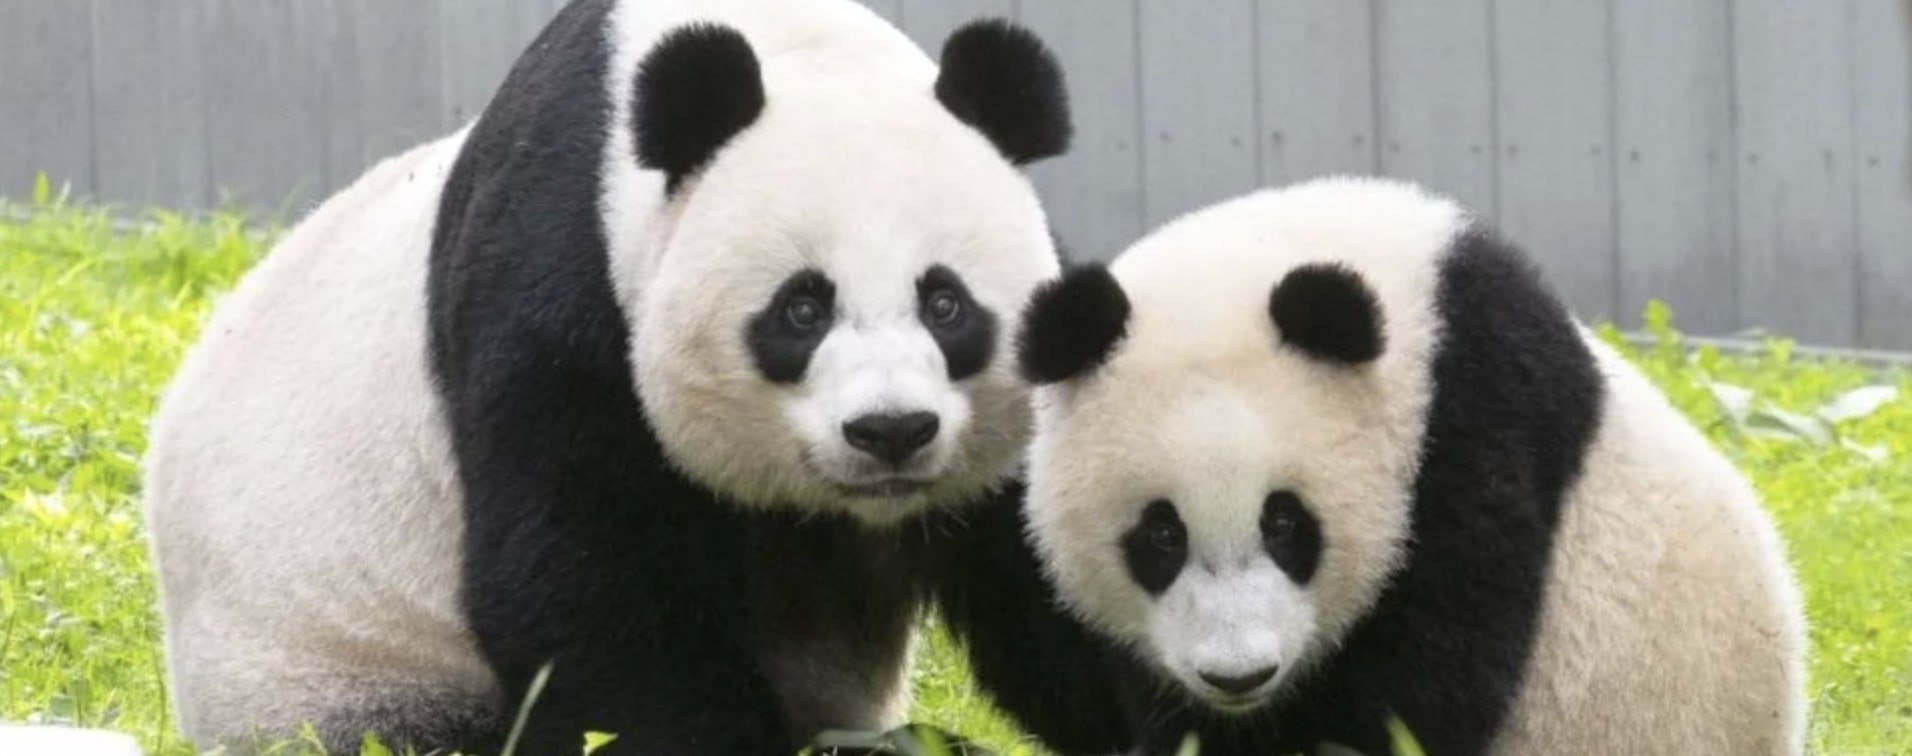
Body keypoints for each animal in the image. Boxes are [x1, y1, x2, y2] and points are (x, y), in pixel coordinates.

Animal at [140, 1, 1071, 754]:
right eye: (801, 310)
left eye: (946, 304)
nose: (891, 431)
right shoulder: (561, 284)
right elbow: (581, 589)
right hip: (330, 669)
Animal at [934, 176, 1808, 756]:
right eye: (1159, 537)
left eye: (1288, 524)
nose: (1238, 675)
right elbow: (1080, 694)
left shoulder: (1474, 418)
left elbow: (1419, 698)